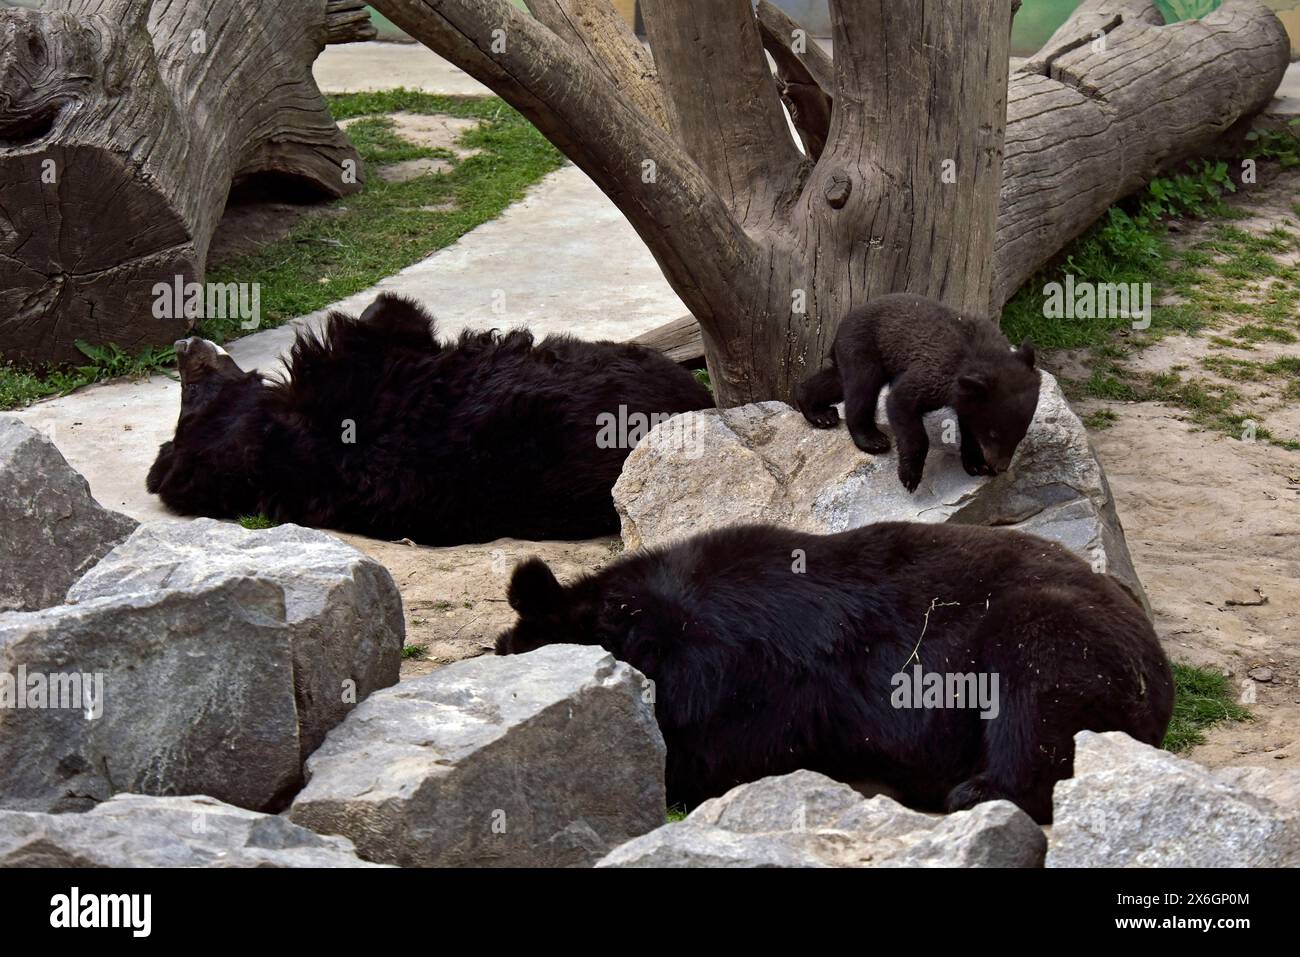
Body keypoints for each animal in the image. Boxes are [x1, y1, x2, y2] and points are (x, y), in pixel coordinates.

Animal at [495, 521, 1173, 823]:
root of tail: (1160, 675)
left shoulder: (744, 680)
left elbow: (712, 755)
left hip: (1058, 632)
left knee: (1033, 694)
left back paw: (976, 790)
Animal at [795, 293, 1041, 492]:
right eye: (994, 433)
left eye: (1021, 434)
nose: (1001, 467)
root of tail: (841, 325)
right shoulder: (937, 373)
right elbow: (901, 403)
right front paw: (910, 475)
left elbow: (969, 425)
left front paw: (977, 463)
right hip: (864, 347)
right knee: (861, 388)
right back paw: (872, 439)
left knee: (837, 381)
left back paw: (818, 412)